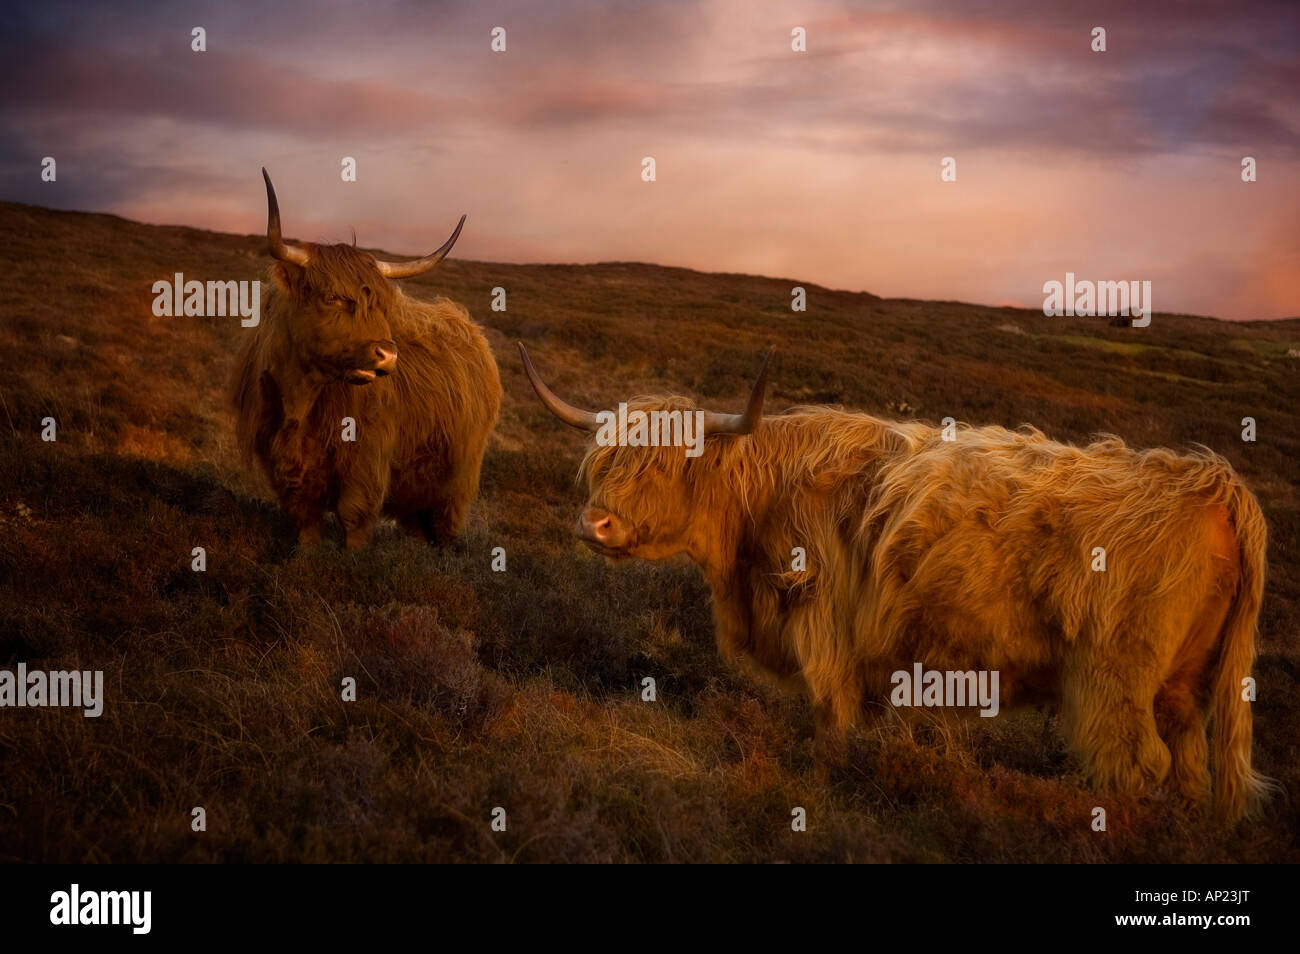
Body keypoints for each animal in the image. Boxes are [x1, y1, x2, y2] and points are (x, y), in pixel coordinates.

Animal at [231, 170, 501, 550]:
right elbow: (305, 516)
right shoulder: (282, 458)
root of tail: (464, 320)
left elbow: (354, 514)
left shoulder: (367, 457)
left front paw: (354, 556)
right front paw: (306, 554)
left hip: (459, 475)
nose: (387, 355)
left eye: (380, 305)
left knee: (444, 523)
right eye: (331, 297)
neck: (301, 398)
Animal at [518, 343, 1275, 821]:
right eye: (605, 461)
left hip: (1116, 681)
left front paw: (821, 789)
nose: (595, 524)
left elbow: (830, 725)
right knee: (1188, 767)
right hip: (1184, 686)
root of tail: (1211, 483)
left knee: (1139, 765)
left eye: (666, 465)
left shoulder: (822, 628)